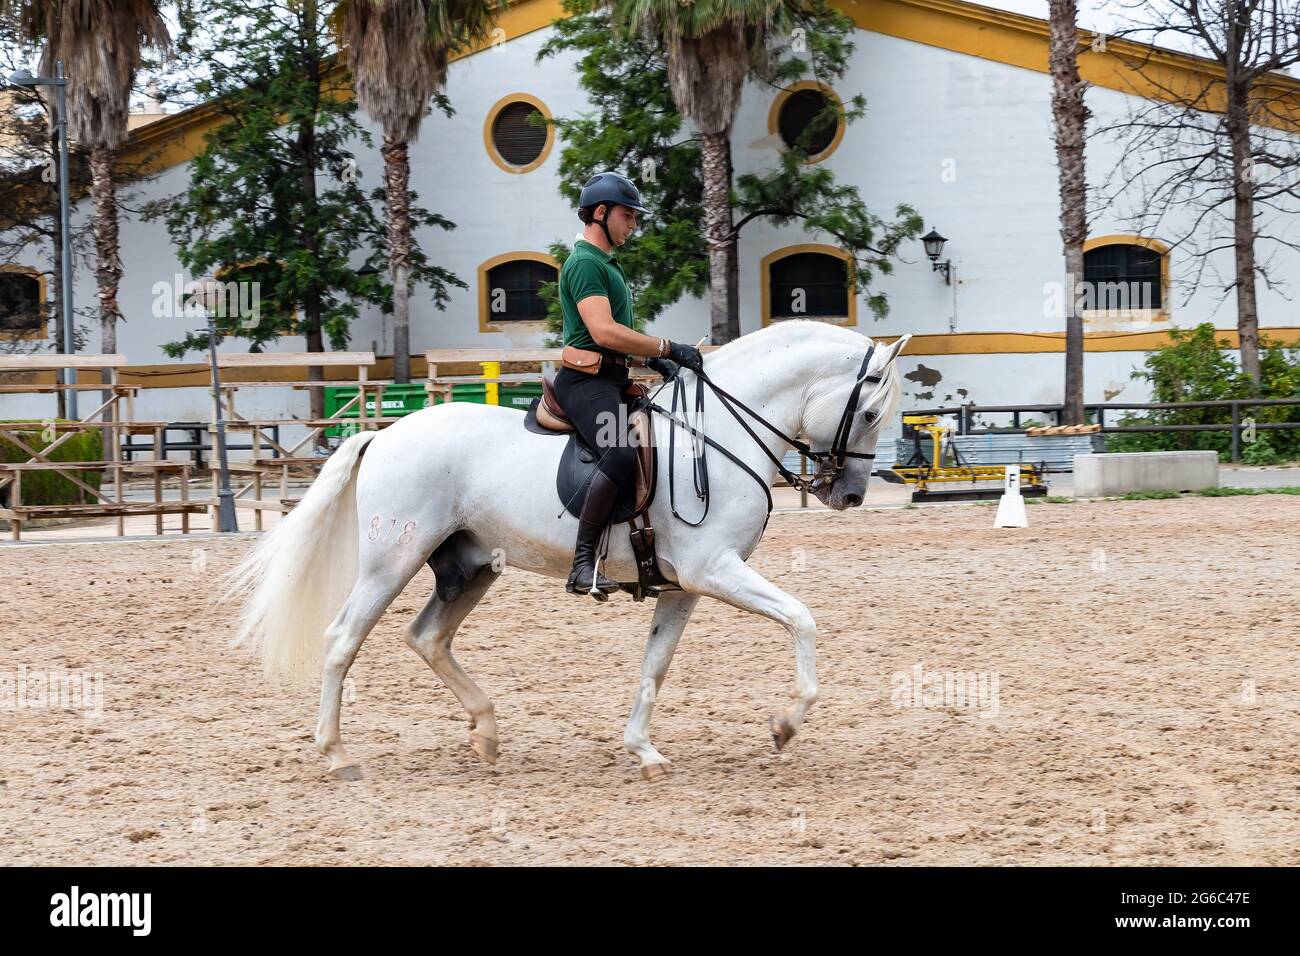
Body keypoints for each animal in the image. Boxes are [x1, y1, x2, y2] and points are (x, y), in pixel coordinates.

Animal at [225, 321, 911, 780]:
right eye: (871, 412)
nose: (851, 494)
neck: (715, 433)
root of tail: (386, 432)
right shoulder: (714, 570)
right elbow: (802, 618)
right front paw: (786, 723)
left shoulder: (685, 586)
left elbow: (655, 665)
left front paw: (644, 750)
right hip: (392, 560)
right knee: (344, 639)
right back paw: (338, 754)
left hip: (470, 566)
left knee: (428, 637)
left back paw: (486, 733)